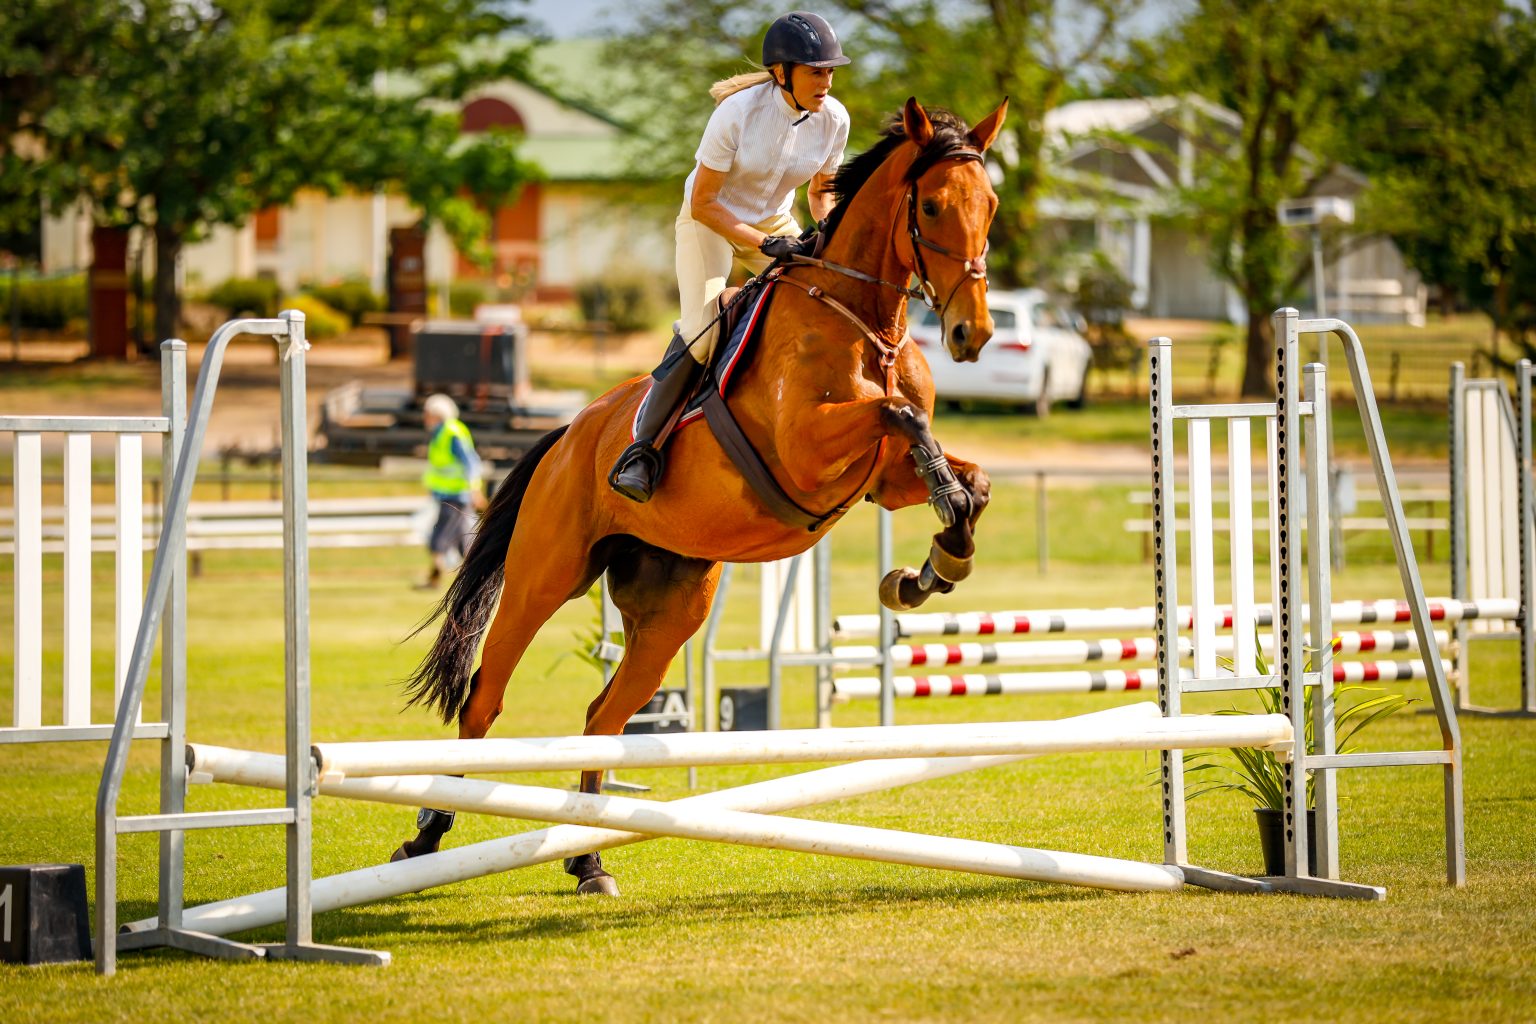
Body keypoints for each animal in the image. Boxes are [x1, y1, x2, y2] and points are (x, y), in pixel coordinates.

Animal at [397, 97, 1009, 894]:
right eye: (931, 205)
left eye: (990, 205)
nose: (972, 335)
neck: (864, 322)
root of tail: (568, 436)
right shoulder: (808, 452)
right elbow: (901, 416)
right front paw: (928, 556)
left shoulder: (879, 481)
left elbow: (970, 480)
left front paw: (930, 569)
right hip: (543, 578)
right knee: (483, 700)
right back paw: (427, 833)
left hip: (669, 611)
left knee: (604, 717)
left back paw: (589, 859)